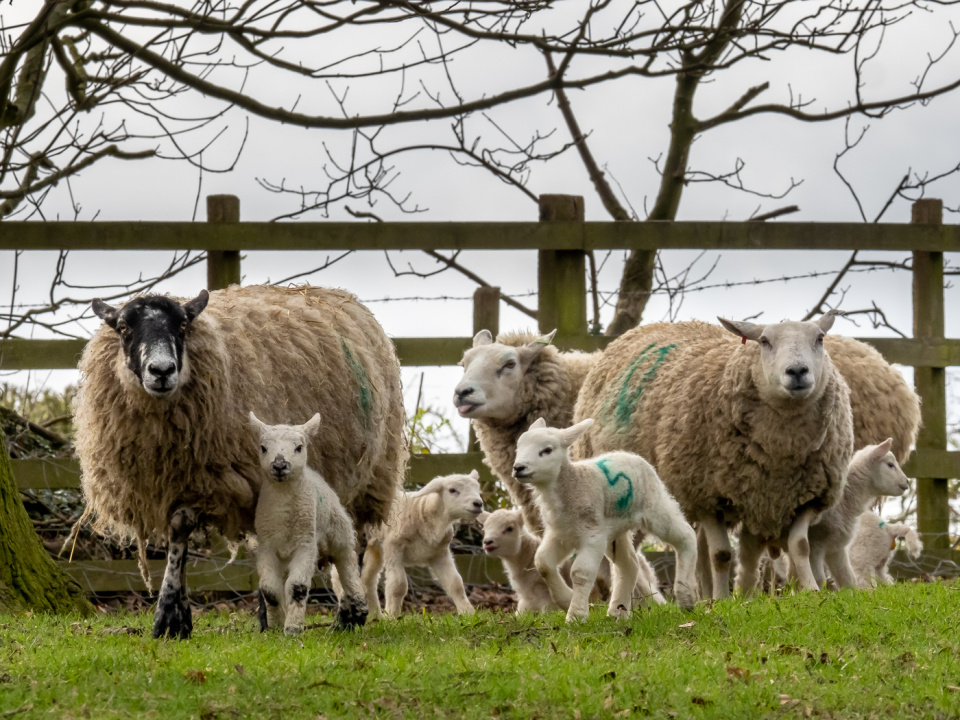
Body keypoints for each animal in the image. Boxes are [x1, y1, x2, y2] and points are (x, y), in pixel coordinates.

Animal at [249, 412, 367, 634]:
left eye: (299, 447)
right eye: (263, 448)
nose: (279, 466)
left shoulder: (305, 544)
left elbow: (297, 587)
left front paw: (293, 628)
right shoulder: (266, 546)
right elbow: (269, 589)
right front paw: (275, 626)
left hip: (339, 533)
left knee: (348, 567)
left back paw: (356, 612)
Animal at [361, 471, 484, 617]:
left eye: (477, 489)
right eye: (452, 490)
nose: (478, 504)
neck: (423, 510)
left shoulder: (439, 554)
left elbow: (456, 584)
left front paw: (468, 613)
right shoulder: (393, 546)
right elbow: (398, 585)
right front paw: (392, 615)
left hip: (375, 547)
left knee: (367, 578)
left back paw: (374, 615)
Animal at [512, 418, 698, 622]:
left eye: (547, 450)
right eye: (518, 448)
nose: (518, 468)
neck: (572, 485)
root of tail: (628, 454)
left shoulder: (593, 535)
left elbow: (581, 572)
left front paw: (576, 615)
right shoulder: (561, 534)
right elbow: (543, 563)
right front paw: (566, 599)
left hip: (655, 506)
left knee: (686, 535)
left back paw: (686, 596)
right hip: (615, 531)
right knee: (629, 564)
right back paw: (618, 611)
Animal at [574, 314, 855, 598]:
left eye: (820, 338)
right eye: (764, 341)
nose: (797, 371)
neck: (781, 450)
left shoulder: (807, 497)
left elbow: (800, 547)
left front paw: (812, 590)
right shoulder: (705, 496)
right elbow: (721, 555)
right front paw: (722, 599)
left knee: (699, 549)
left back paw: (703, 595)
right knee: (621, 553)